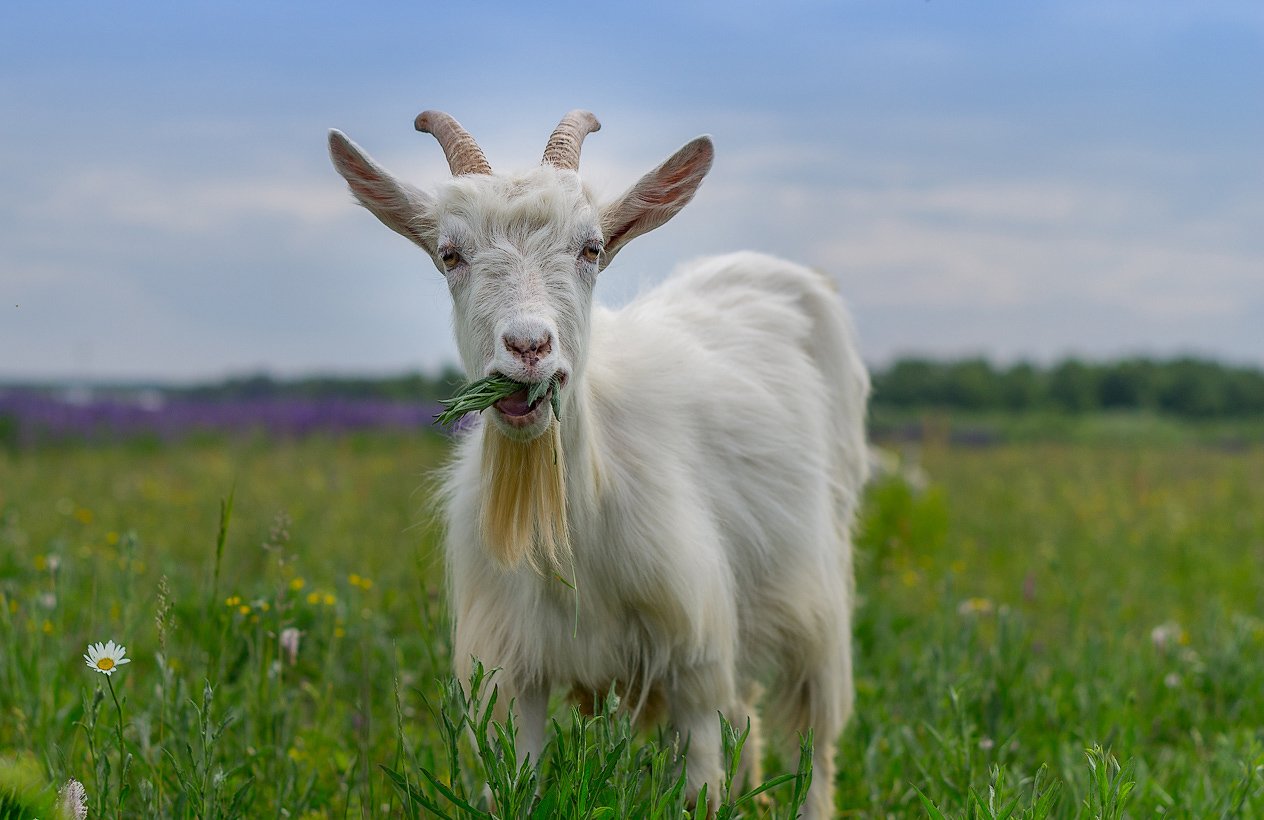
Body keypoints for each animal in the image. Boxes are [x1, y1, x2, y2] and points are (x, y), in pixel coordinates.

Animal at [331, 110, 874, 818]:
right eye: (450, 254)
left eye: (591, 249)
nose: (528, 347)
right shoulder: (515, 672)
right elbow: (518, 789)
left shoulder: (692, 657)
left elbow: (699, 789)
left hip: (816, 593)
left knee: (815, 744)